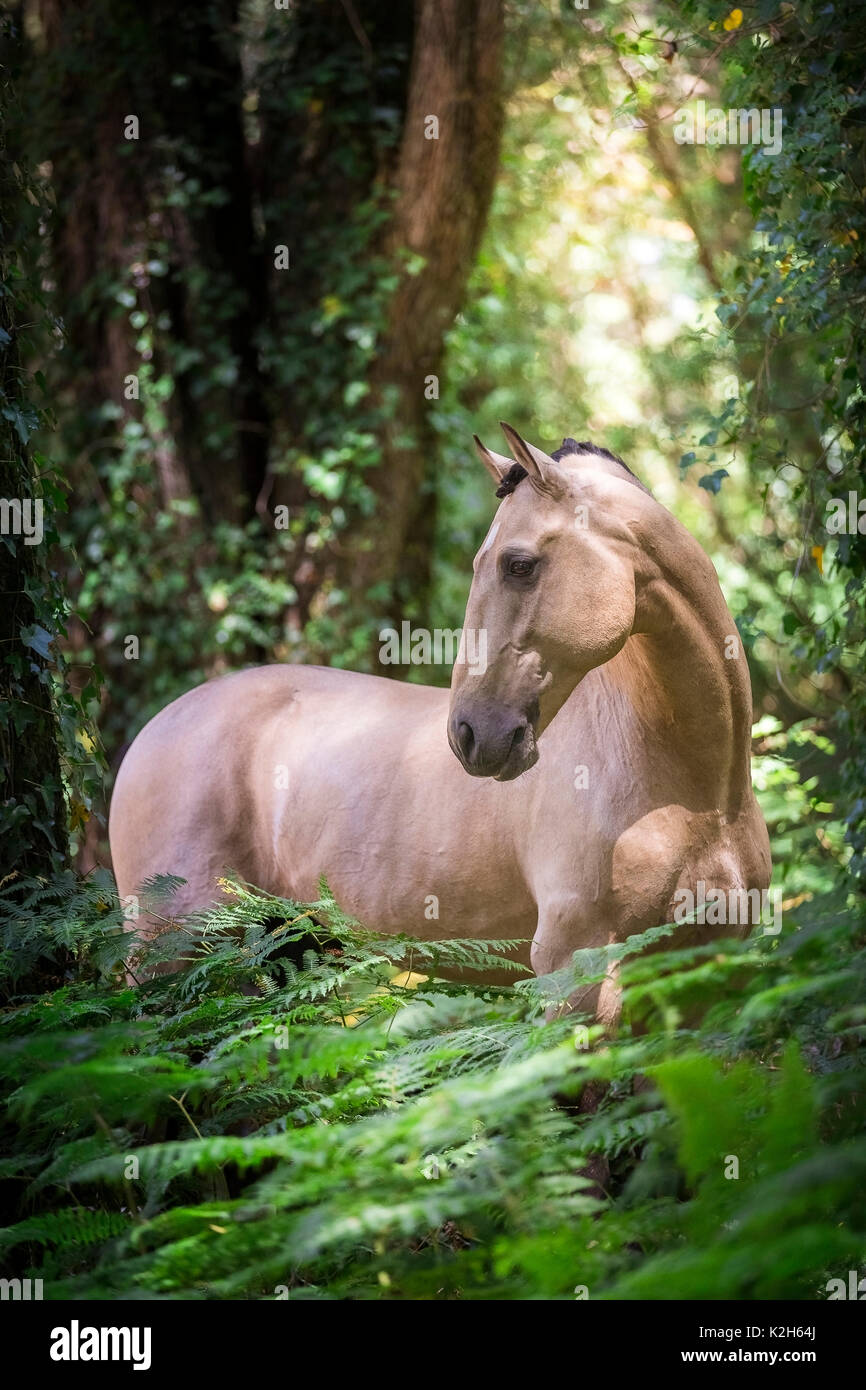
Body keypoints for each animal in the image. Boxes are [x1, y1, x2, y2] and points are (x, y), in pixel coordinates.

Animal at [109, 424, 771, 1025]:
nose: (469, 735)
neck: (699, 796)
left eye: (519, 564)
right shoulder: (575, 979)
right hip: (180, 963)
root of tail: (154, 730)